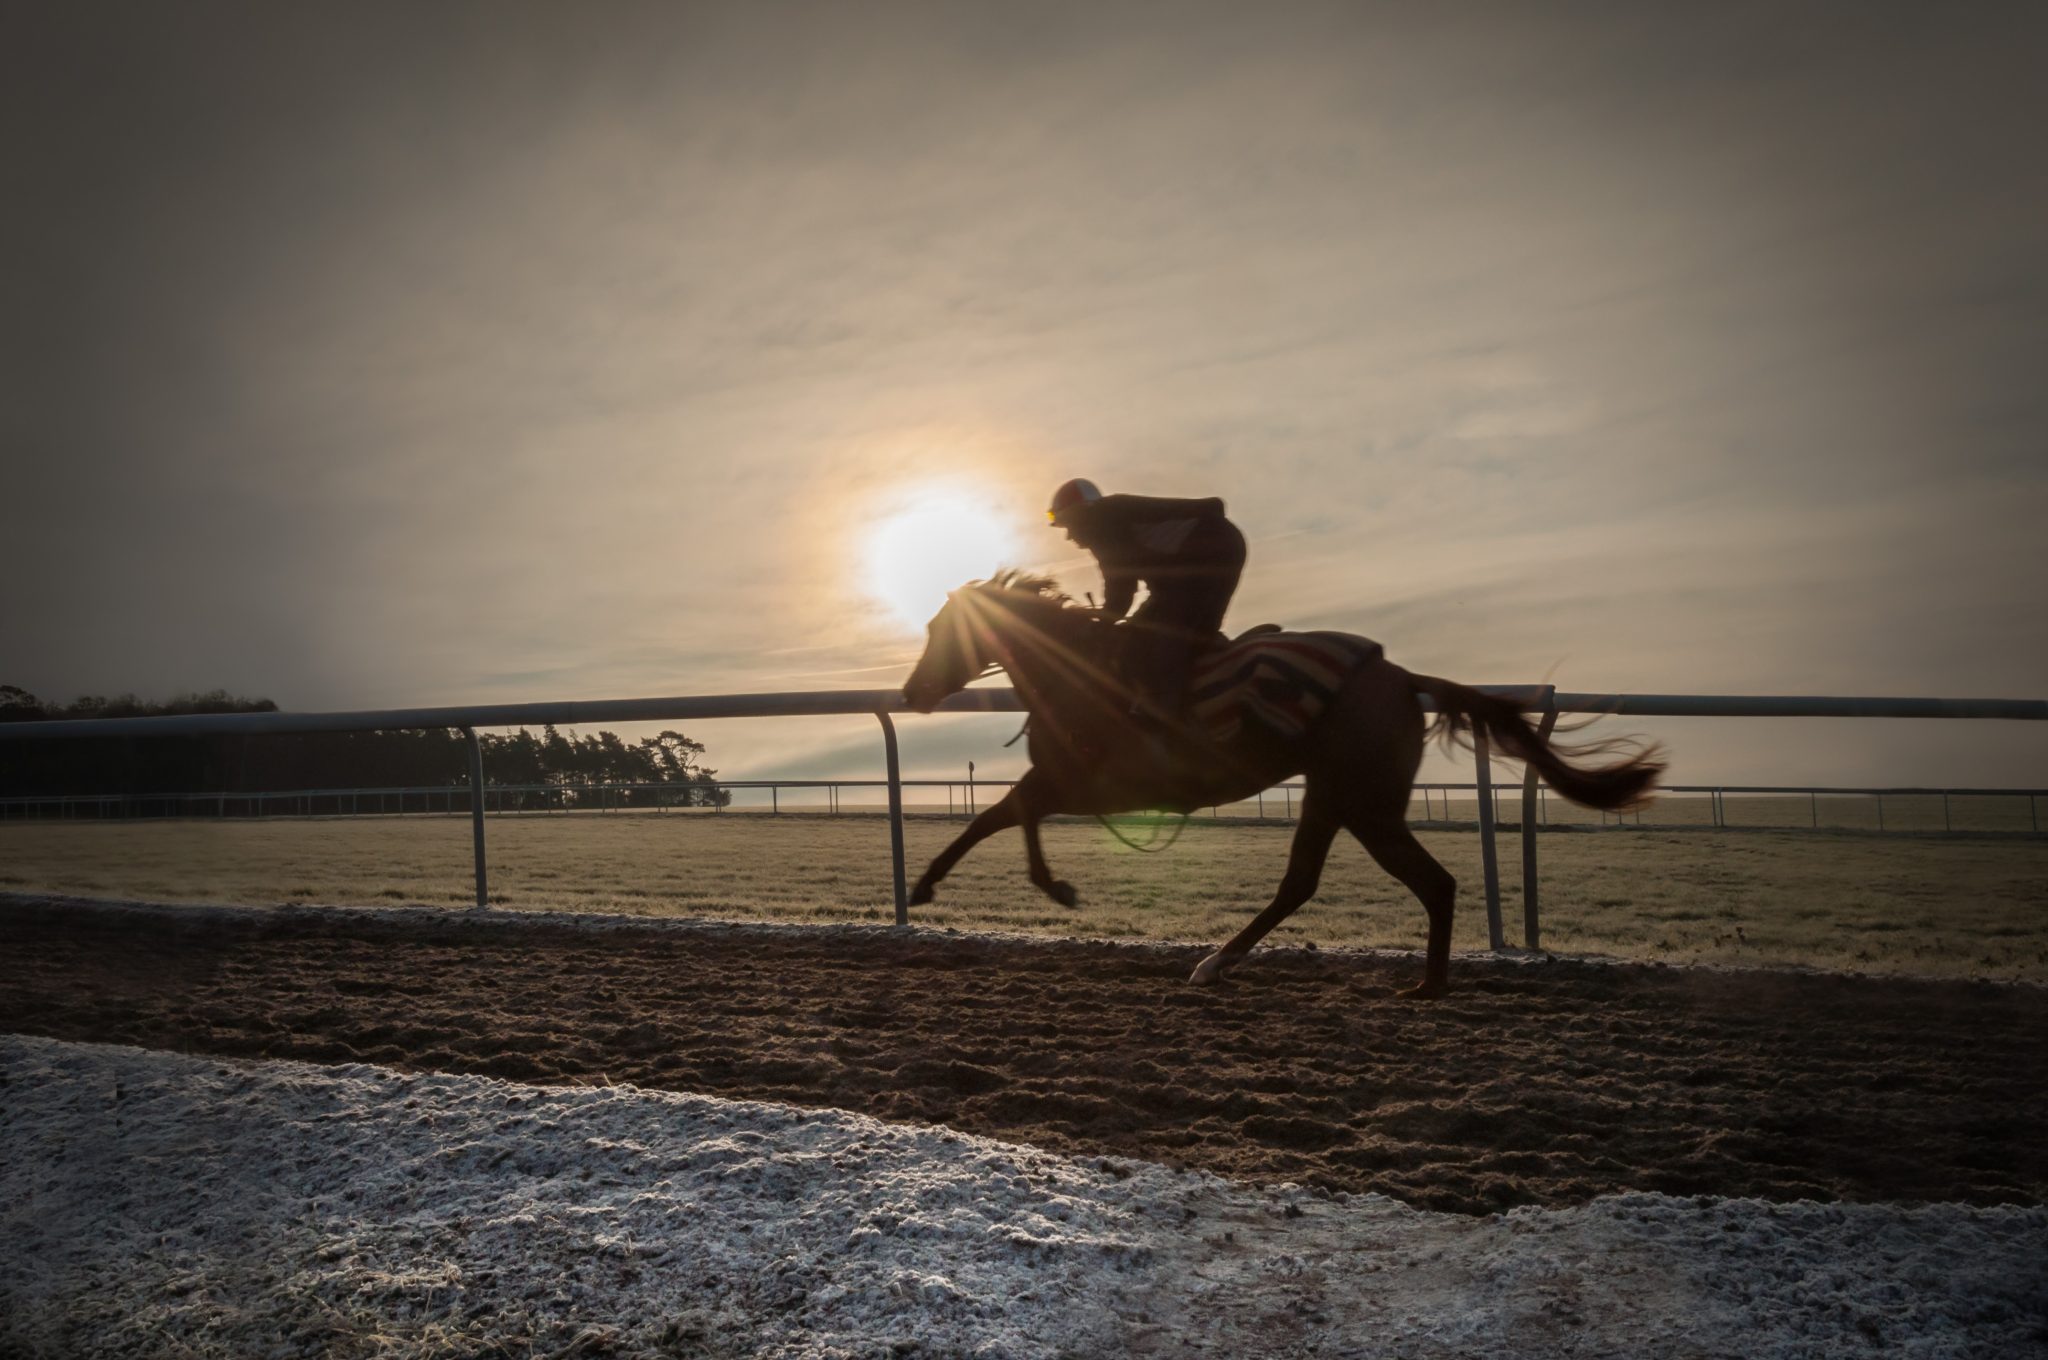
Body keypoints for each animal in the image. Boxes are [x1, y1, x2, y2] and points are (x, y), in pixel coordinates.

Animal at [898, 571, 1664, 998]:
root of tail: (1403, 678)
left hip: (1362, 798)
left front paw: (1025, 886)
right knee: (1319, 881)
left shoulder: (1093, 785)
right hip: (1337, 795)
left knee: (1417, 881)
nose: (911, 692)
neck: (1076, 668)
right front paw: (934, 883)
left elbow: (1006, 814)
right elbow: (1000, 813)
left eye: (939, 628)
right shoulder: (1069, 782)